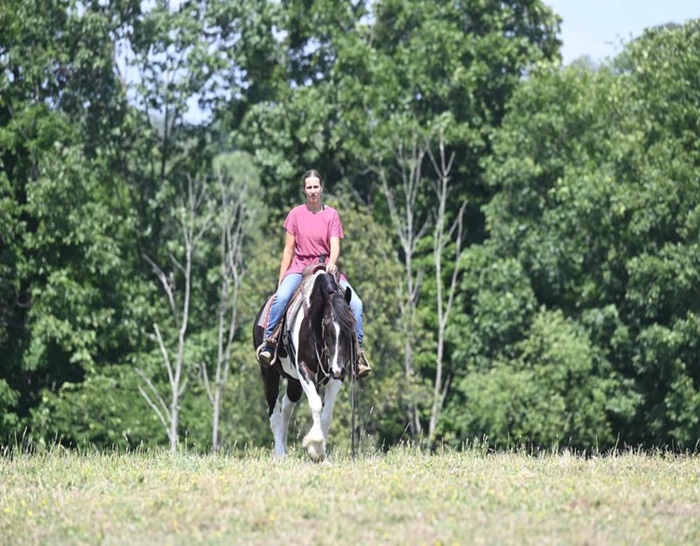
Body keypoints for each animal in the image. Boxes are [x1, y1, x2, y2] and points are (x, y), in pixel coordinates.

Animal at [252, 268, 357, 461]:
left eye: (350, 325)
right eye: (326, 324)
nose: (337, 369)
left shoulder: (336, 378)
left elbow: (326, 416)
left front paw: (323, 455)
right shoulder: (304, 370)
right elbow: (315, 403)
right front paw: (315, 447)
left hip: (294, 382)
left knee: (286, 408)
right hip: (268, 372)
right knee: (274, 412)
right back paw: (280, 454)